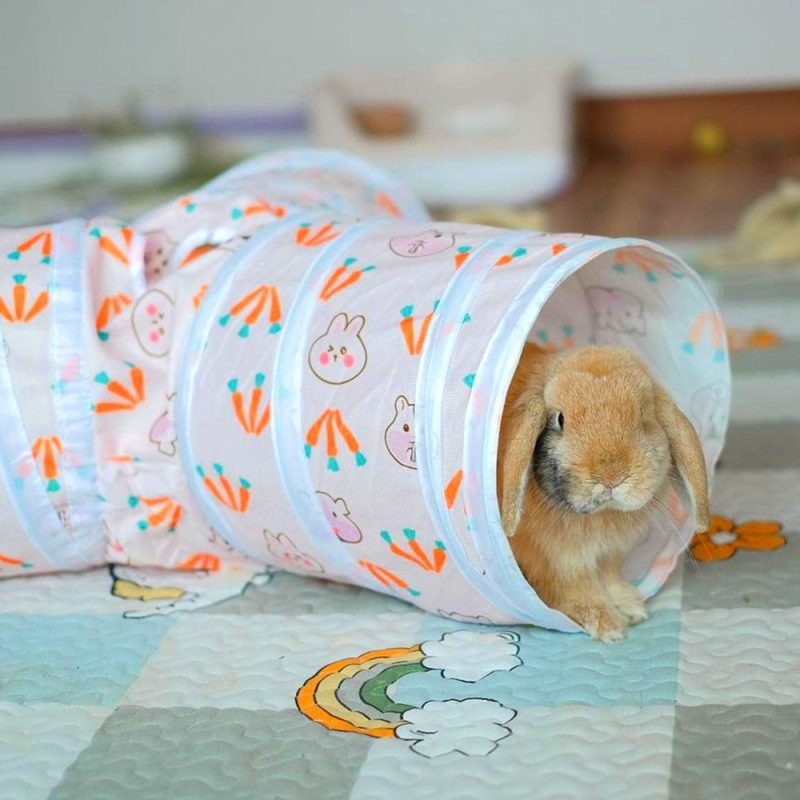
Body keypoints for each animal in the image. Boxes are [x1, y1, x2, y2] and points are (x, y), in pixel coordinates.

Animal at [498, 343, 709, 641]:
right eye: (560, 419)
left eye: (643, 416)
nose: (611, 476)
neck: (601, 515)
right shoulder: (557, 562)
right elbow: (575, 589)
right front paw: (608, 625)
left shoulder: (610, 553)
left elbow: (609, 577)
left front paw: (631, 607)